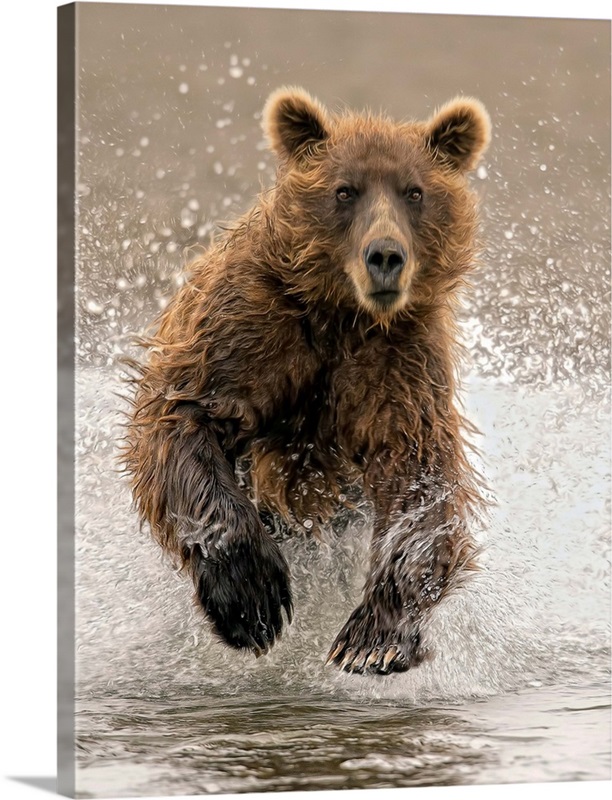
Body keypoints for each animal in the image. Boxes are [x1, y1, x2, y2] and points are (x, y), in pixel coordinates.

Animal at [123, 87, 491, 675]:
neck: (341, 313)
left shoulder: (398, 362)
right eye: (345, 190)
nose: (385, 255)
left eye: (414, 191)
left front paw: (373, 639)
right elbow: (184, 416)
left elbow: (418, 474)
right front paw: (251, 599)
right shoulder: (250, 329)